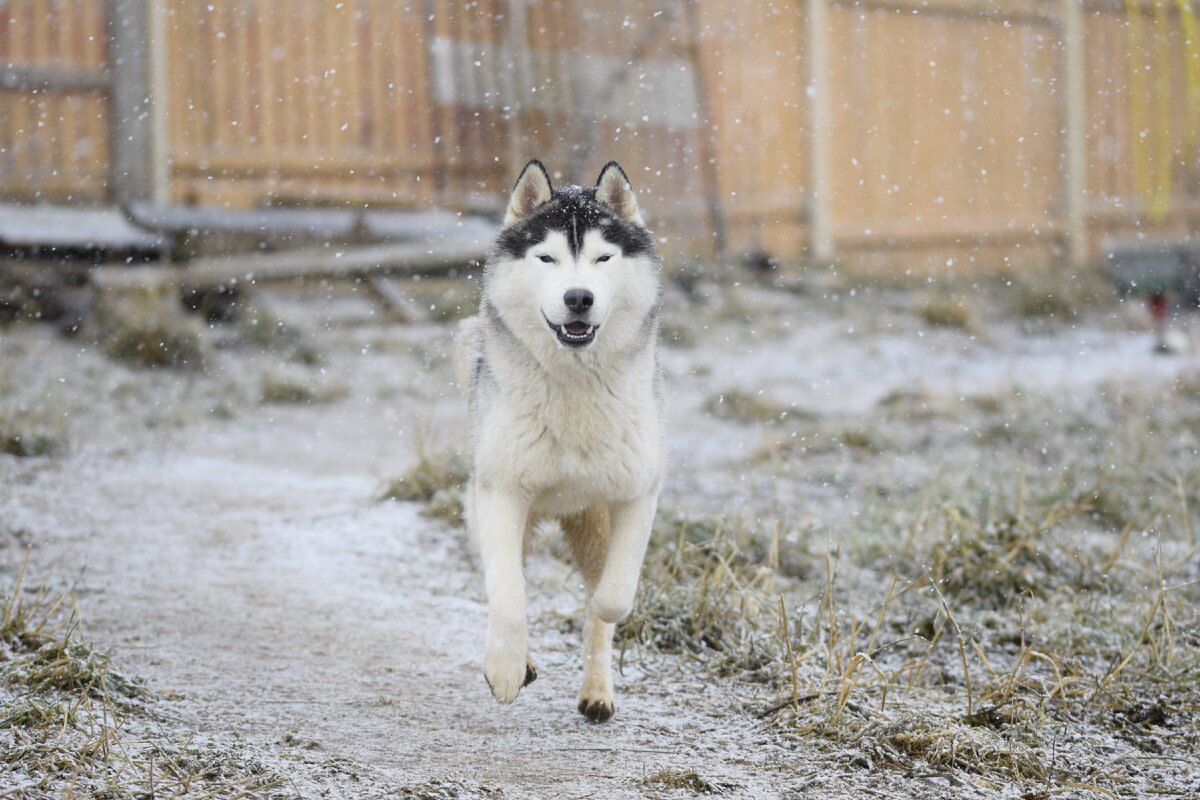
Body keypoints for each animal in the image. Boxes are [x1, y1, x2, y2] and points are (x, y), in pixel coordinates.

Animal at [456, 159, 667, 724]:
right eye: (547, 257)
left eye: (603, 257)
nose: (578, 297)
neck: (574, 388)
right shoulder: (500, 493)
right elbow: (508, 592)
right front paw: (506, 669)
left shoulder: (639, 494)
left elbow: (614, 596)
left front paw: (598, 613)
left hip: (593, 524)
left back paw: (597, 692)